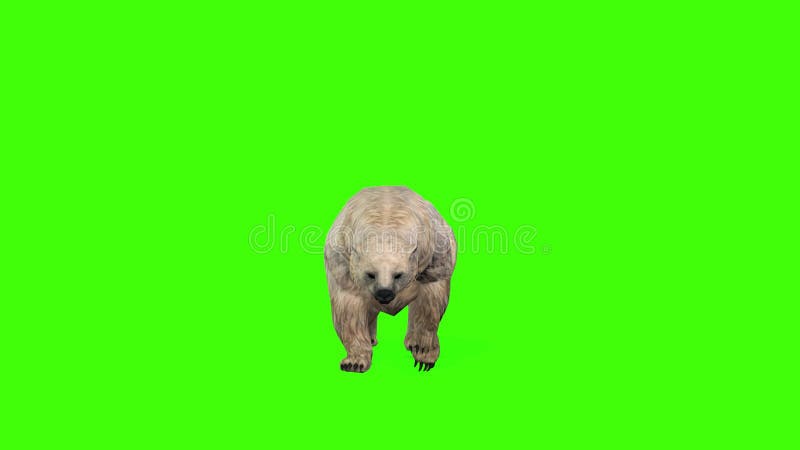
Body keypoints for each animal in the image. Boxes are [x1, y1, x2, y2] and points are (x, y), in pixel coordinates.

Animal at [324, 186, 456, 372]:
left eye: (398, 274)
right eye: (370, 274)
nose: (384, 293)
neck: (386, 218)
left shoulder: (434, 254)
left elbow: (430, 303)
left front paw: (423, 355)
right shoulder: (342, 259)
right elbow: (348, 308)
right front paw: (354, 362)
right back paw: (372, 339)